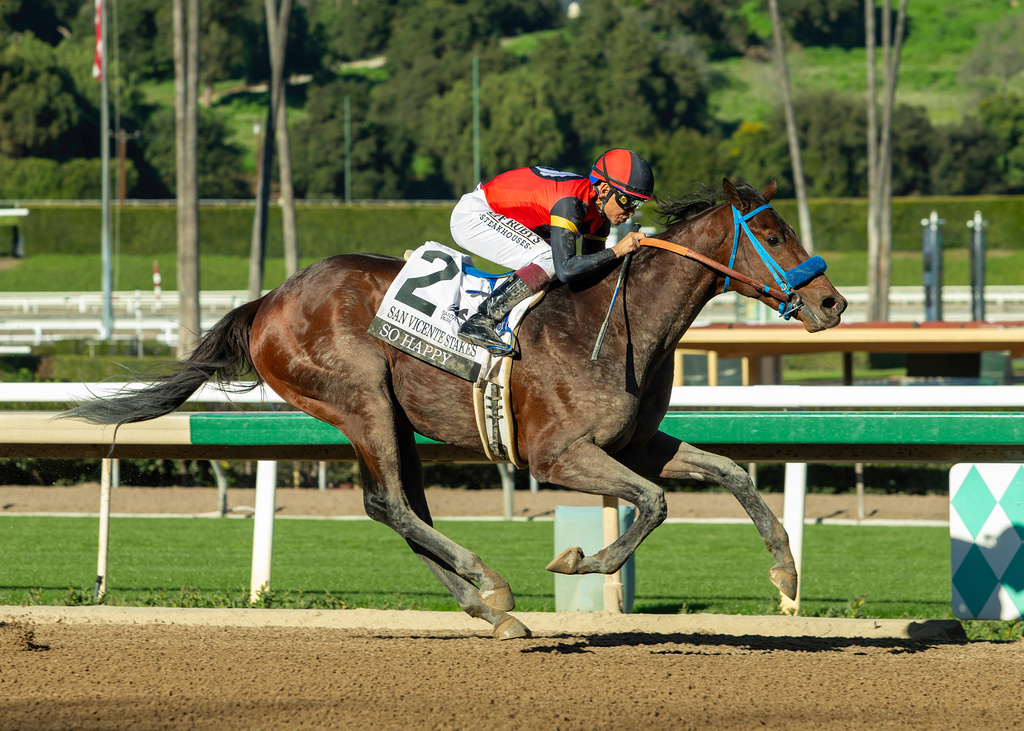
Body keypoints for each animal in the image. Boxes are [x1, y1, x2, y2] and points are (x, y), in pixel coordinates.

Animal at [65, 178, 847, 639]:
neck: (616, 322)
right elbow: (654, 503)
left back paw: (487, 608)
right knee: (391, 504)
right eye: (772, 235)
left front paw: (786, 575)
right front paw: (581, 560)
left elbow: (732, 472)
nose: (832, 301)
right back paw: (491, 585)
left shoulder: (630, 443)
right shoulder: (558, 454)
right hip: (361, 400)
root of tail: (270, 300)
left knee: (401, 508)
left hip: (389, 417)